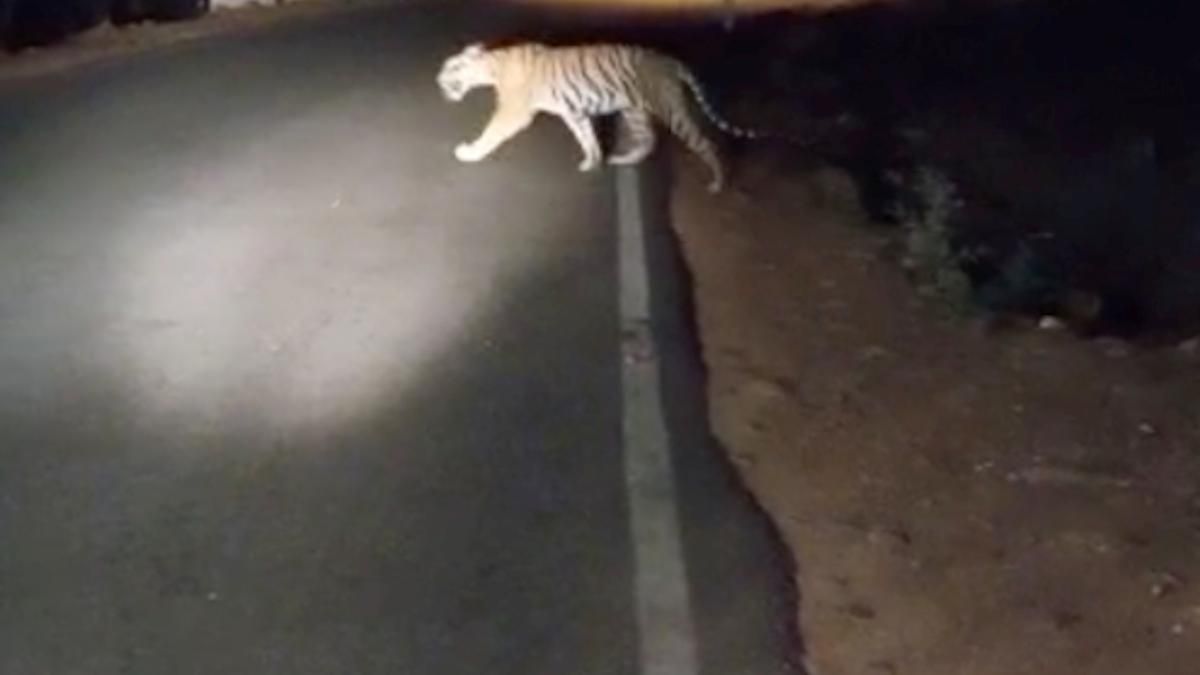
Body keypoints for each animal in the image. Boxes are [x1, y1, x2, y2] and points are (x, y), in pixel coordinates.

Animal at [436, 41, 764, 193]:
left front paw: (469, 152)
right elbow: (587, 138)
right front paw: (593, 162)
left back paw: (717, 183)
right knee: (649, 141)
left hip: (670, 109)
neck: (492, 66)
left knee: (706, 143)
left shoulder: (513, 113)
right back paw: (620, 159)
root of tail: (668, 59)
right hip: (634, 112)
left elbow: (490, 133)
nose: (439, 85)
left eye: (449, 70)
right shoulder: (574, 112)